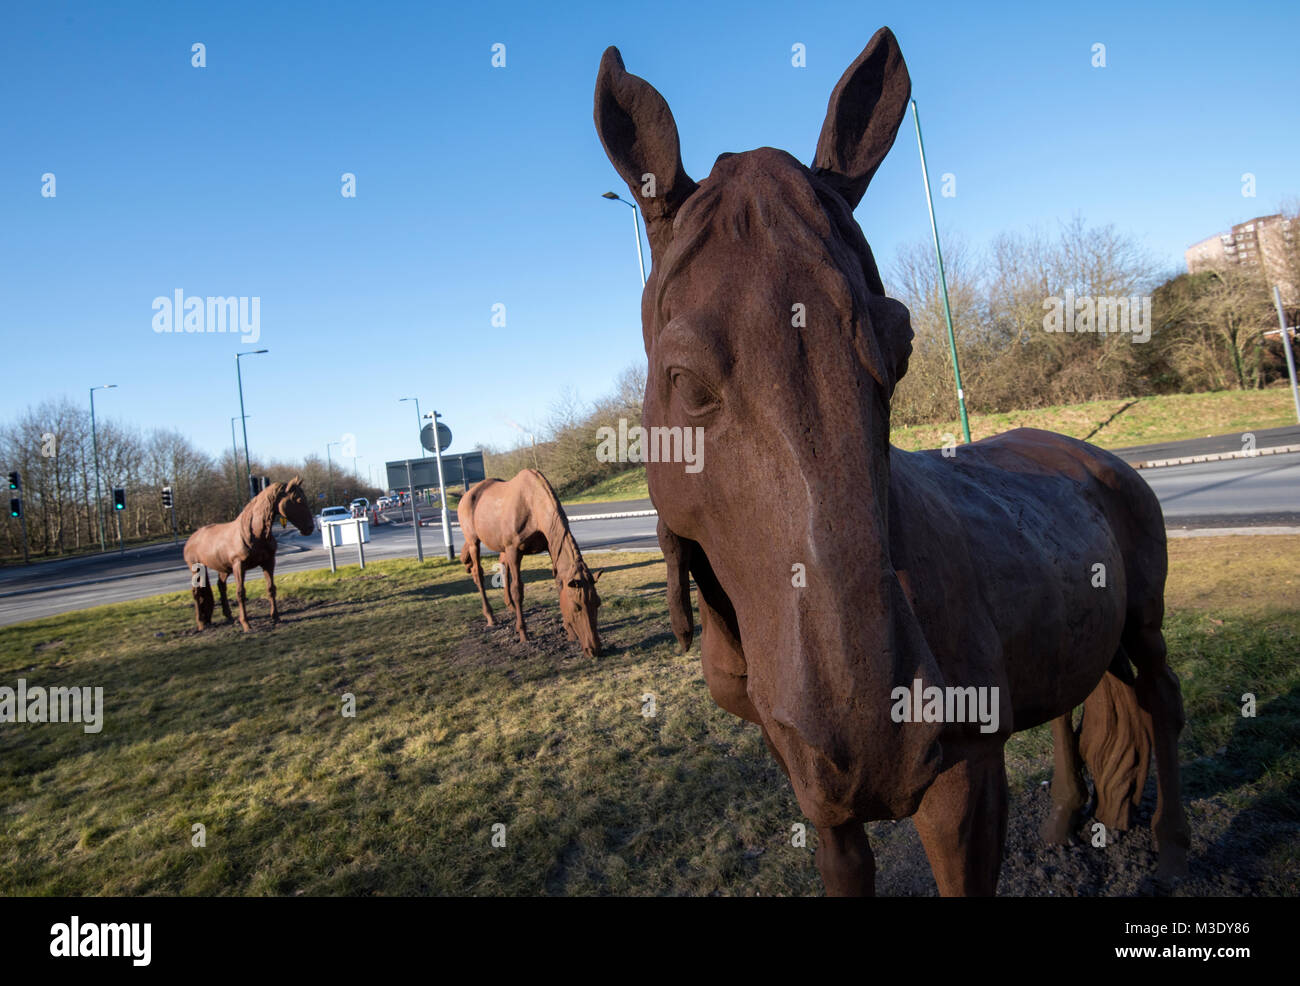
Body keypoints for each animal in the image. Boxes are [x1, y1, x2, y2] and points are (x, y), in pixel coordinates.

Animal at [182, 476, 315, 631]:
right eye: (299, 500)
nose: (310, 528)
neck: (253, 533)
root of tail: (191, 539)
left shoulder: (268, 562)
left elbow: (271, 588)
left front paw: (276, 617)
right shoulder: (239, 566)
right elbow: (241, 593)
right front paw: (246, 624)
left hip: (224, 569)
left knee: (221, 586)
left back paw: (229, 616)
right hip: (197, 569)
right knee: (196, 593)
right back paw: (201, 623)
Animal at [457, 468, 603, 657]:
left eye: (598, 603)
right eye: (577, 607)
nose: (594, 649)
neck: (532, 504)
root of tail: (466, 496)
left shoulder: (550, 546)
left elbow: (559, 583)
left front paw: (569, 632)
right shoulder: (513, 550)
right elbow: (517, 589)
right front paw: (523, 633)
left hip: (500, 547)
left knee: (502, 567)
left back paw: (511, 607)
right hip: (474, 541)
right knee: (478, 574)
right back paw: (490, 616)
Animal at [593, 27, 1189, 896]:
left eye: (902, 345)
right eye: (684, 382)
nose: (872, 732)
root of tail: (1094, 454)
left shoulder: (963, 776)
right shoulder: (810, 780)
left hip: (1143, 616)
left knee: (1161, 703)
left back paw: (1174, 843)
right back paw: (1061, 823)